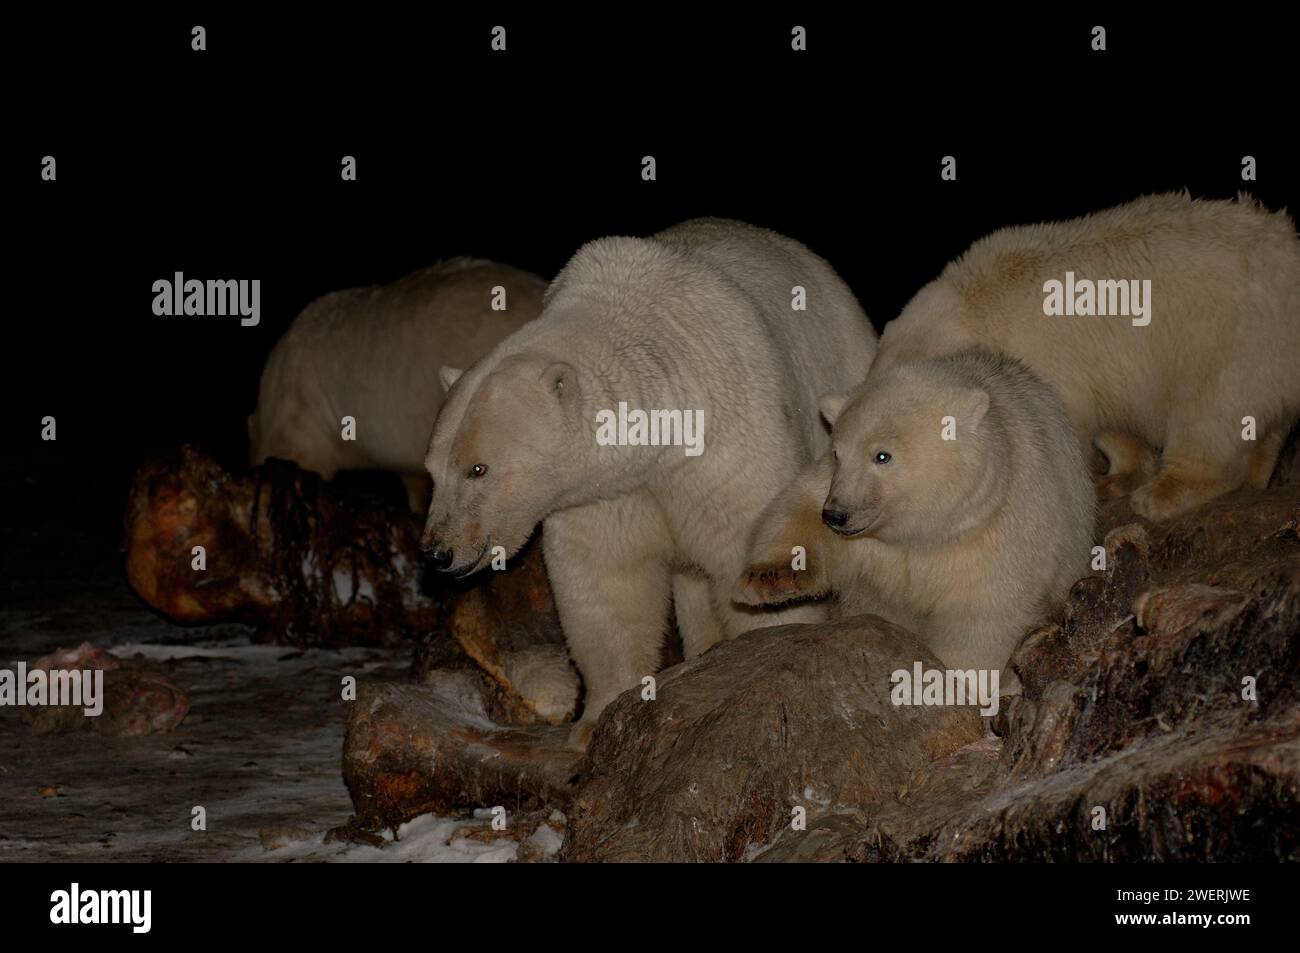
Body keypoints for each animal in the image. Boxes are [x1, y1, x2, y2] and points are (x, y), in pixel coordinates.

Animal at [421, 218, 878, 742]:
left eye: (478, 468)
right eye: (432, 470)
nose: (438, 551)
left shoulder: (727, 441)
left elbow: (755, 551)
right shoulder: (605, 492)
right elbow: (607, 587)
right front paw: (594, 722)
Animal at [734, 349, 1096, 686]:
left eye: (882, 456)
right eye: (837, 453)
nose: (836, 515)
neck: (925, 533)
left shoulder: (997, 526)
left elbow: (981, 613)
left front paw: (957, 681)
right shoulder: (856, 525)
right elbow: (801, 510)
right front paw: (769, 577)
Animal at [871, 193, 1300, 522]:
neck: (974, 309)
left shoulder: (1043, 358)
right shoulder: (1100, 367)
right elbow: (1112, 419)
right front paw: (1119, 476)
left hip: (1231, 338)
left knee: (1209, 414)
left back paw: (1165, 493)